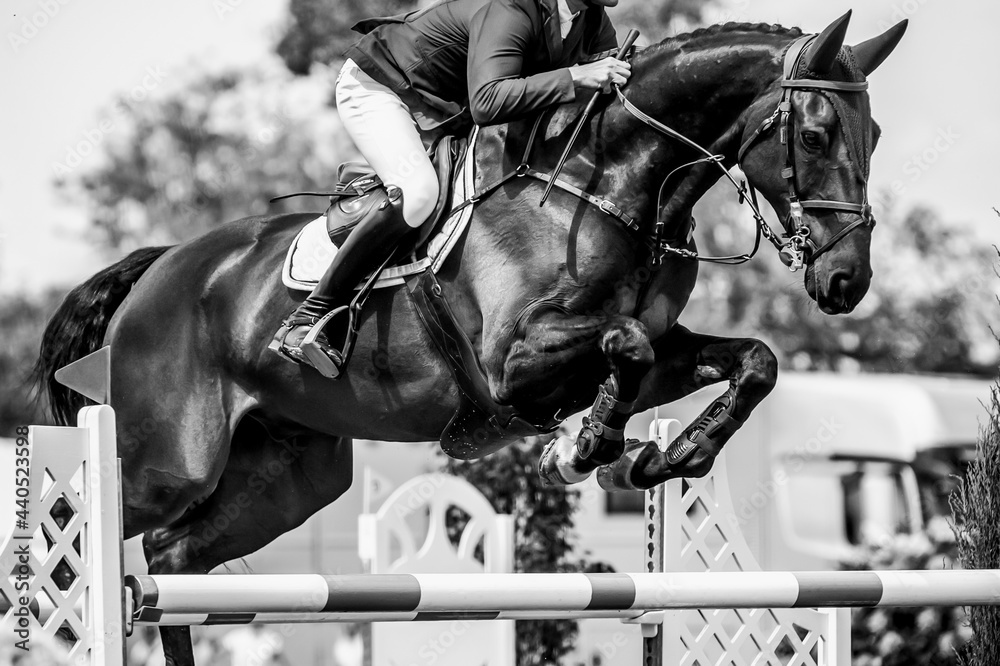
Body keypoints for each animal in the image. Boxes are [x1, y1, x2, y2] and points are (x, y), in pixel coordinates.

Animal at [35, 14, 905, 665]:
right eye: (817, 134)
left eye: (876, 132)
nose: (846, 283)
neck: (610, 186)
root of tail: (157, 272)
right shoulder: (513, 362)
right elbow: (625, 344)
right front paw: (582, 449)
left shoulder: (660, 349)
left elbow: (750, 359)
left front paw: (668, 457)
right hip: (166, 461)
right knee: (84, 530)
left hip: (288, 475)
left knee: (174, 561)